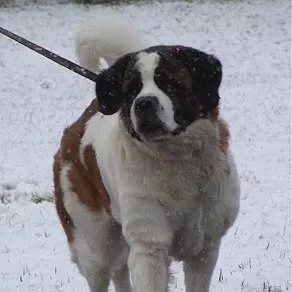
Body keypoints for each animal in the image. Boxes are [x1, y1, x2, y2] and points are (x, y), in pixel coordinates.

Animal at [53, 16, 241, 292]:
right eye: (132, 90)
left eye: (169, 83)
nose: (143, 103)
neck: (176, 158)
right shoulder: (148, 245)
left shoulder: (205, 247)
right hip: (94, 245)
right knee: (103, 268)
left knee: (119, 271)